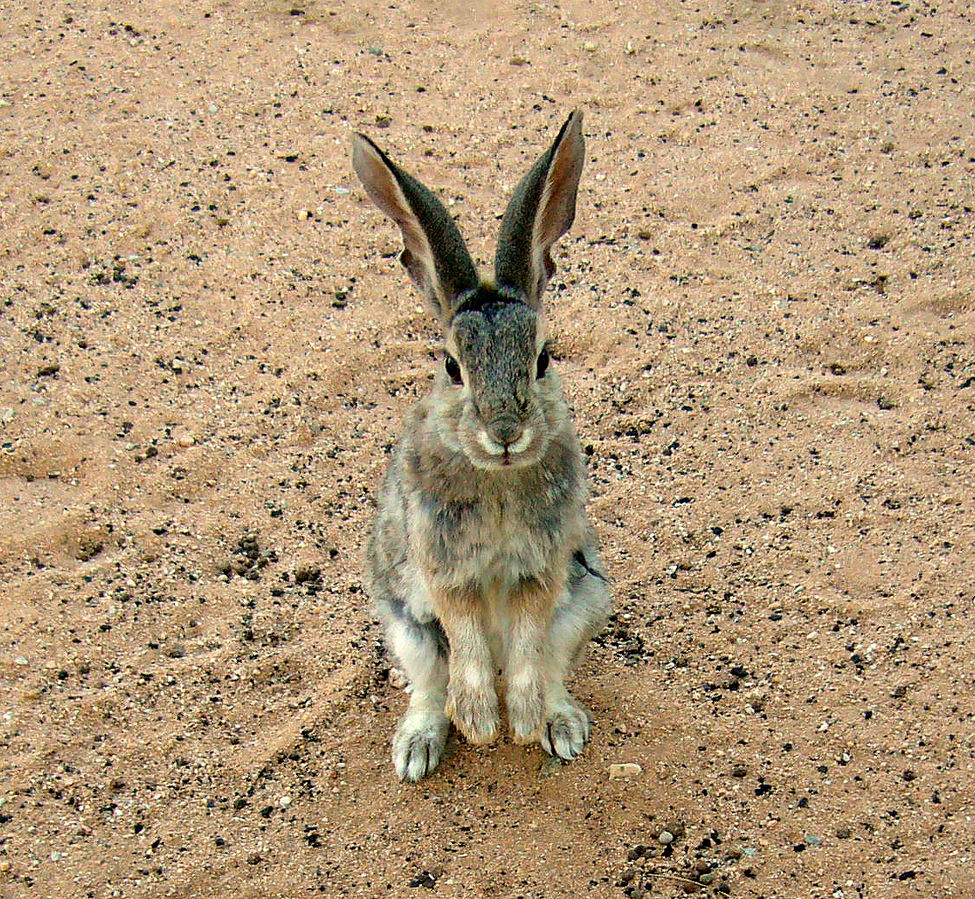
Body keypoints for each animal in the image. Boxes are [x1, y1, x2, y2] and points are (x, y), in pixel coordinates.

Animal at [352, 110, 611, 782]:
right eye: (452, 366)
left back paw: (556, 725)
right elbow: (465, 643)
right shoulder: (443, 572)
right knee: (429, 684)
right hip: (407, 627)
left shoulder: (543, 570)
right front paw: (480, 724)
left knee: (548, 666)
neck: (495, 479)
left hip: (585, 600)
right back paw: (418, 747)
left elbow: (526, 648)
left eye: (543, 358)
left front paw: (516, 722)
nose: (505, 434)